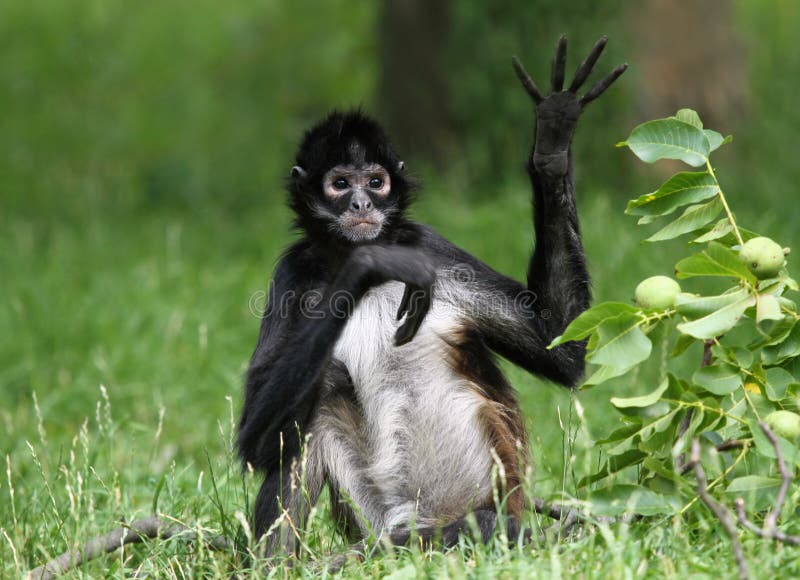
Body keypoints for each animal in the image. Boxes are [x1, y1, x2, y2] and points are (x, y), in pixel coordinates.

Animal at [237, 35, 627, 556]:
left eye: (375, 181)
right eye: (340, 184)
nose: (361, 203)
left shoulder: (429, 246)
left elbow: (563, 349)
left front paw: (553, 140)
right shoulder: (295, 272)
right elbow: (255, 443)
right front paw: (368, 264)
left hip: (484, 501)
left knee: (491, 523)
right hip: (375, 516)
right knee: (313, 407)